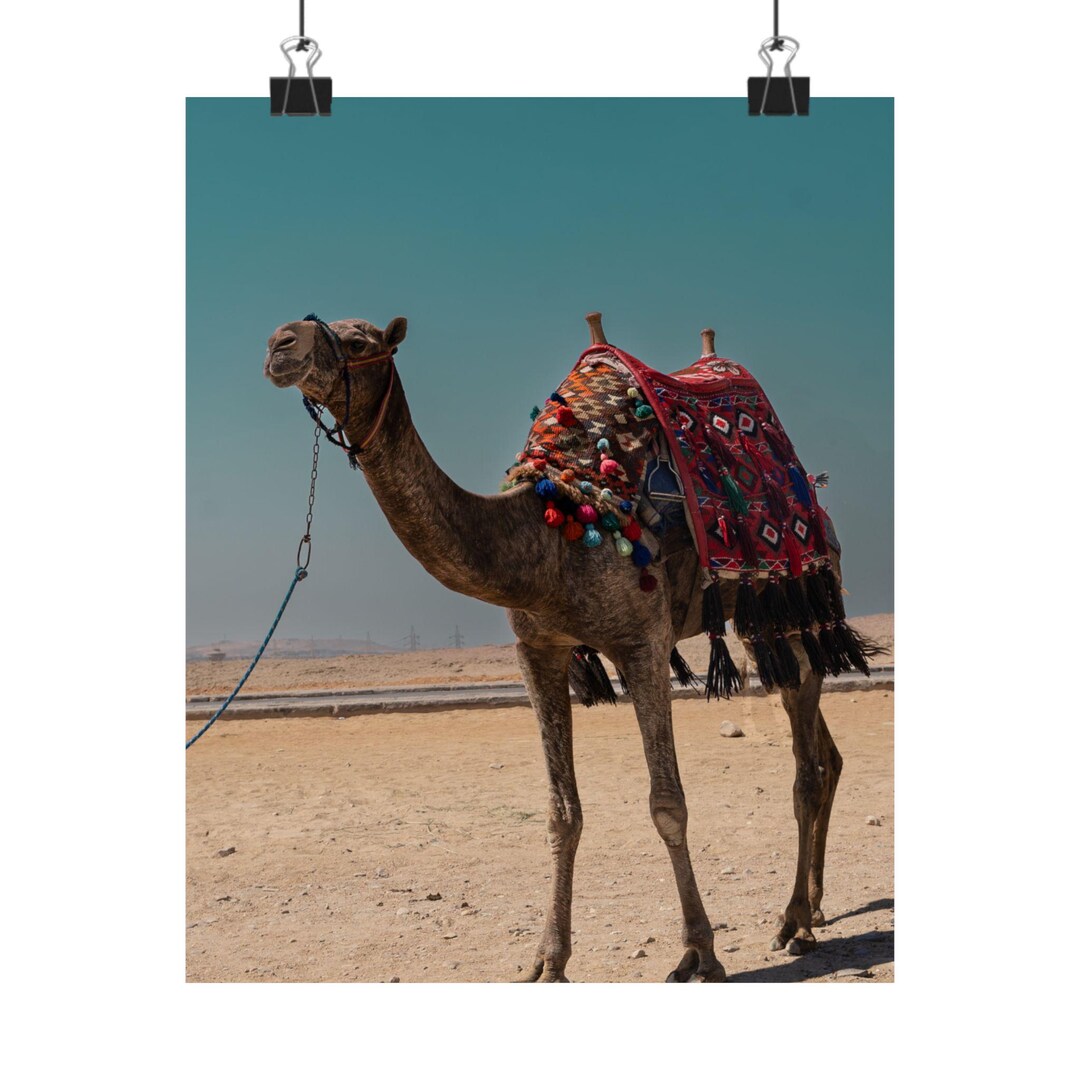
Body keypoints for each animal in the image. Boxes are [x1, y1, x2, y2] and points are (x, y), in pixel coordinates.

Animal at [263, 311, 856, 982]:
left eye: (360, 339)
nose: (280, 343)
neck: (549, 533)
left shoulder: (642, 644)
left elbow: (667, 804)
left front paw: (699, 953)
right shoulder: (538, 652)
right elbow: (561, 813)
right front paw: (549, 959)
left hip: (797, 604)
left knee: (805, 770)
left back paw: (795, 923)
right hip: (761, 627)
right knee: (823, 752)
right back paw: (816, 904)